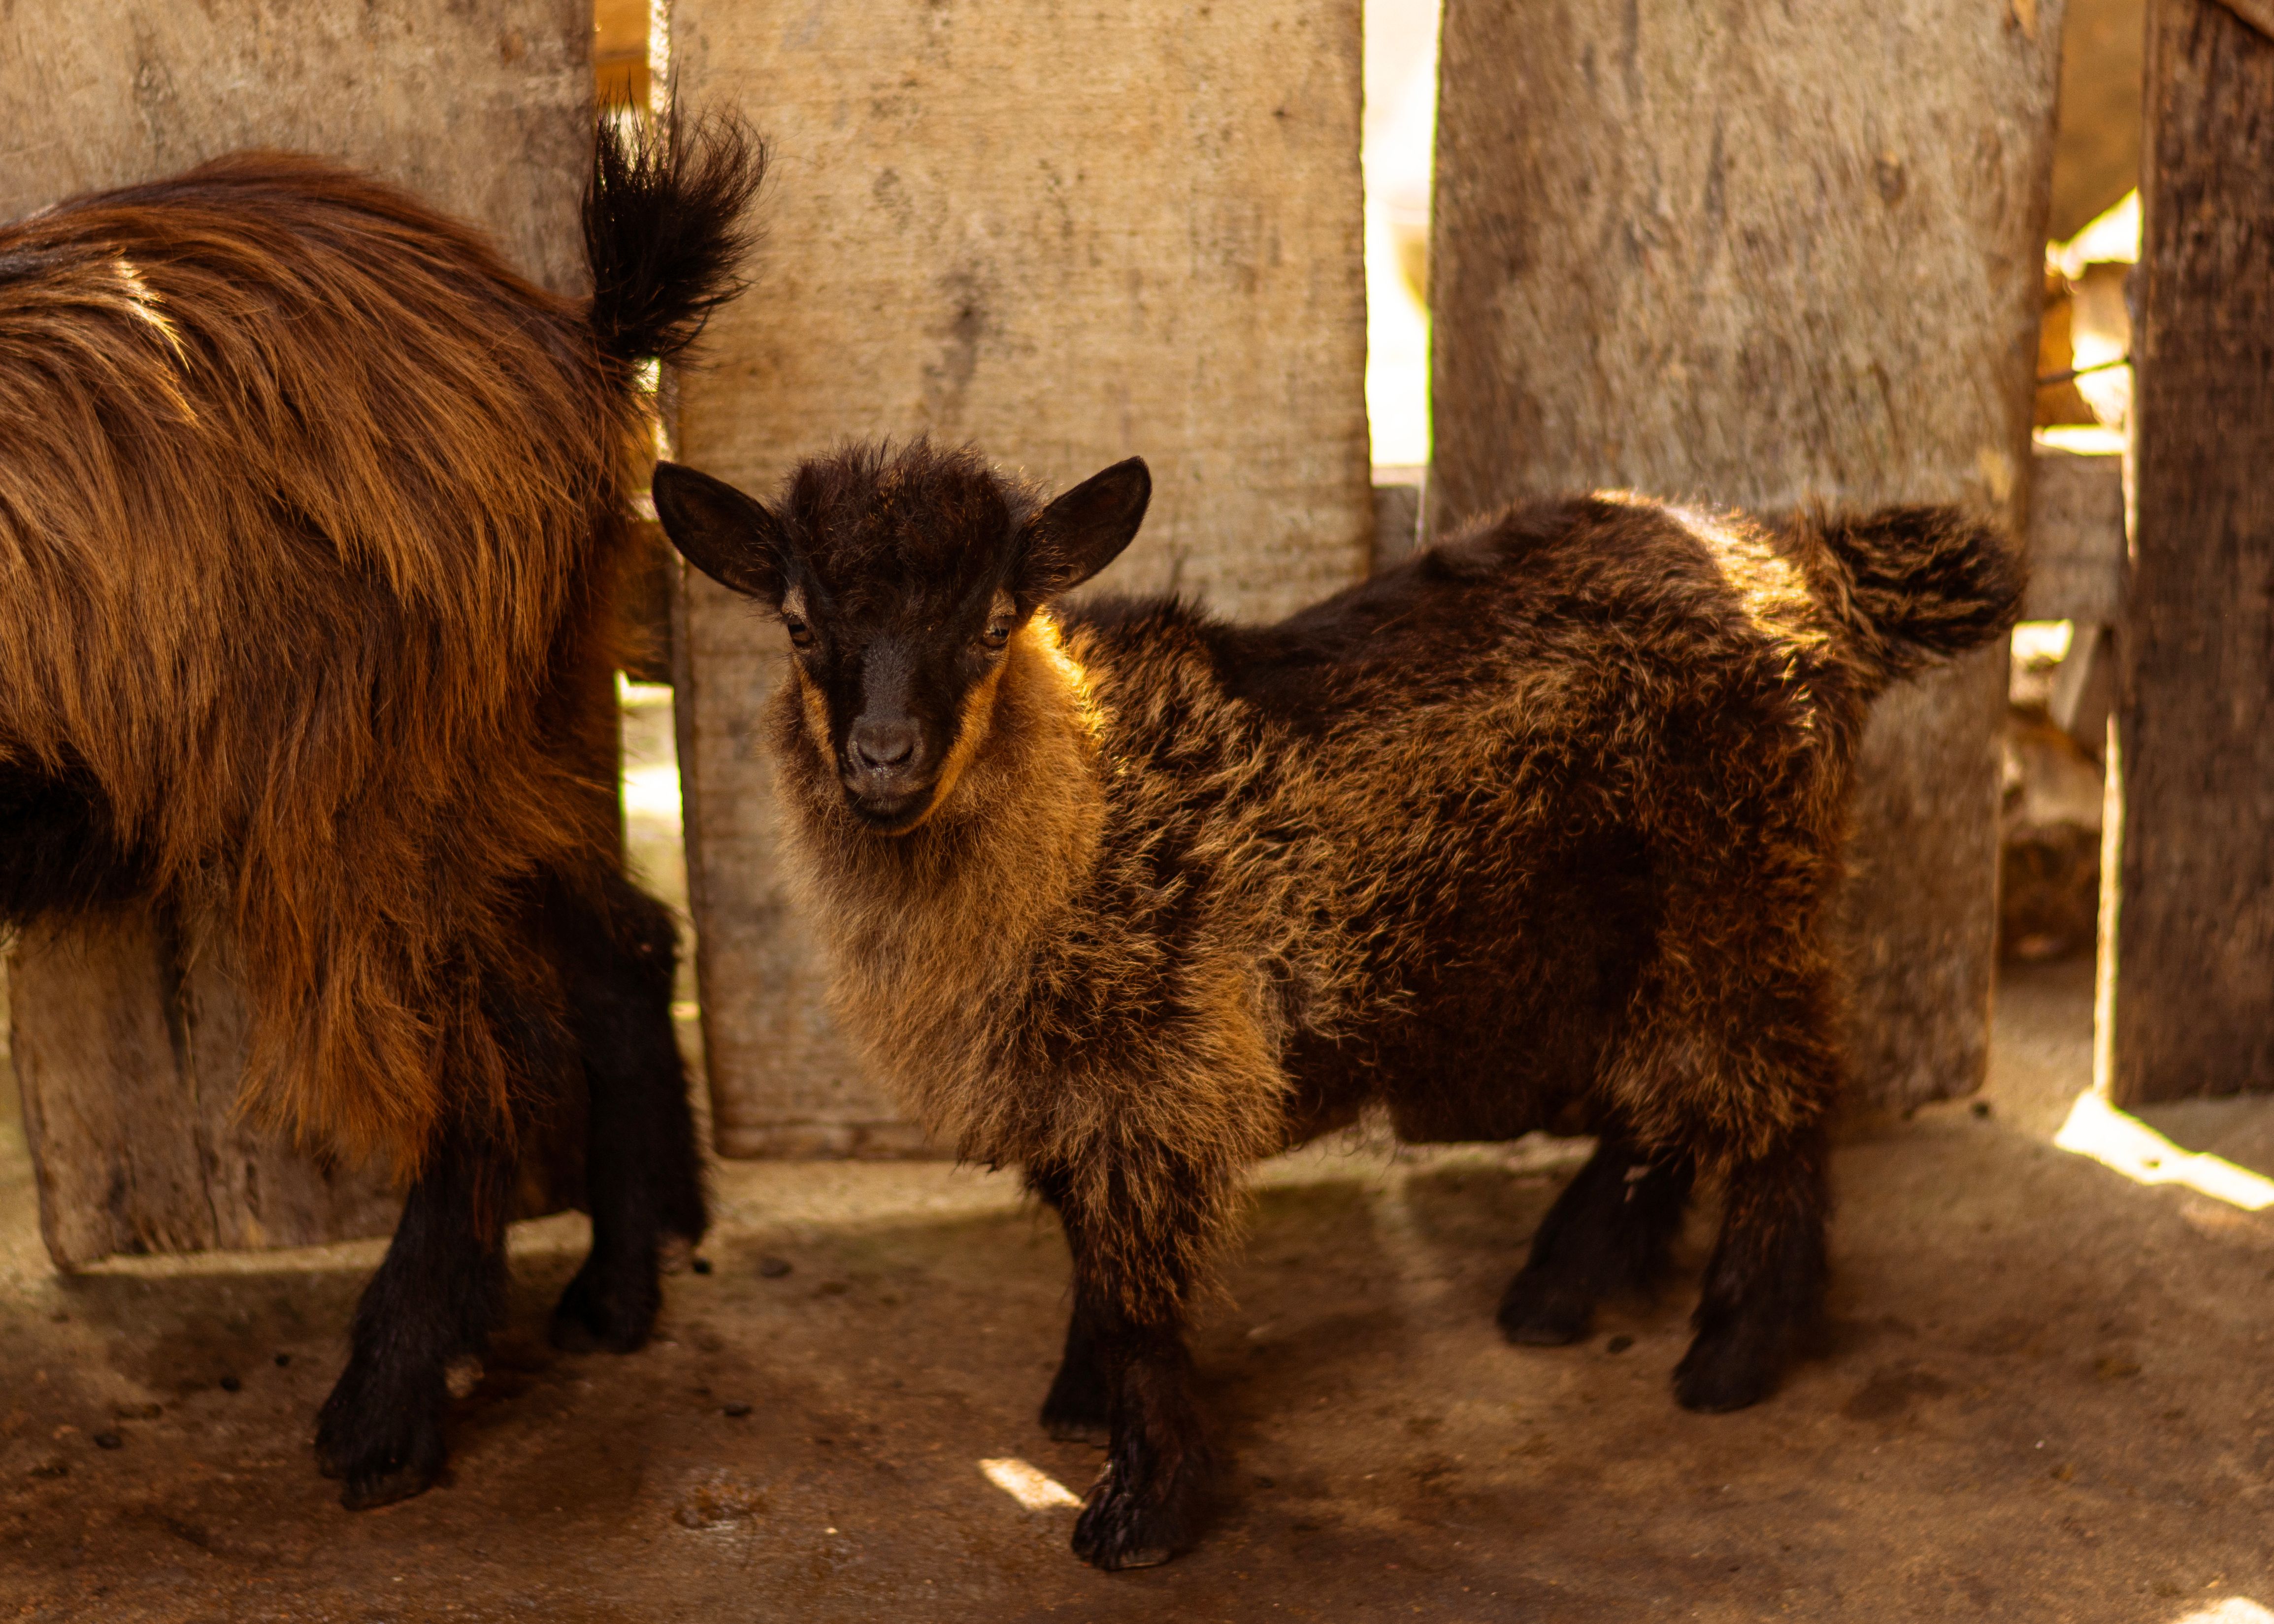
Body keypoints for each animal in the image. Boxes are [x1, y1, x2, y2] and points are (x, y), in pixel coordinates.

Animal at [0, 112, 763, 1508]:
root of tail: (576, 338)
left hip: (350, 774)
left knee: (479, 1064)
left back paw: (389, 1412)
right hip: (499, 733)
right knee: (620, 950)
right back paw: (617, 1293)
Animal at [652, 439, 2023, 1569]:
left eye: (995, 623)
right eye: (795, 625)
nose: (882, 757)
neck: (1086, 809)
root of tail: (1812, 577)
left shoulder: (1165, 1080)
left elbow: (1143, 1301)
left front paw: (1142, 1510)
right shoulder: (1079, 1099)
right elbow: (1094, 1259)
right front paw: (1079, 1399)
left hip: (1743, 889)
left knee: (1780, 1095)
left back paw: (1731, 1353)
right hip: (1643, 934)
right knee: (1667, 1096)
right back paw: (1559, 1291)